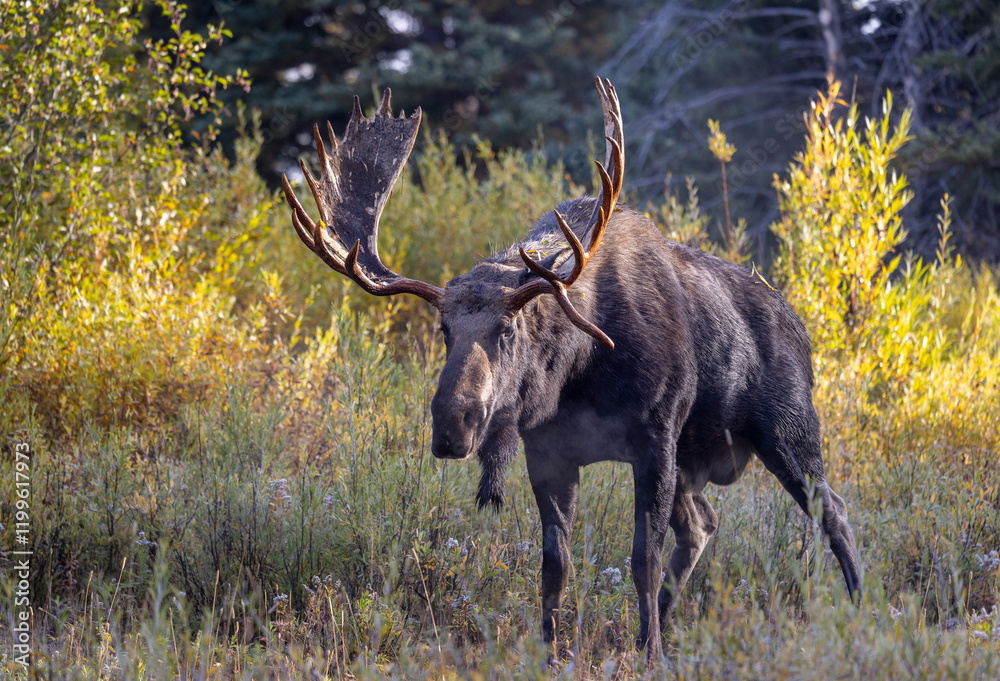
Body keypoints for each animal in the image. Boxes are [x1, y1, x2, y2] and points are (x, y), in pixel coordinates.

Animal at [281, 78, 861, 659]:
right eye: (443, 329)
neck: (579, 375)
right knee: (703, 524)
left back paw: (861, 609)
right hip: (699, 460)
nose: (451, 425)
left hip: (785, 431)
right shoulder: (550, 451)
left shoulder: (655, 440)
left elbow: (642, 559)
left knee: (833, 510)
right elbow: (554, 565)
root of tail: (800, 328)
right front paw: (551, 649)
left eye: (508, 329)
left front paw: (651, 657)